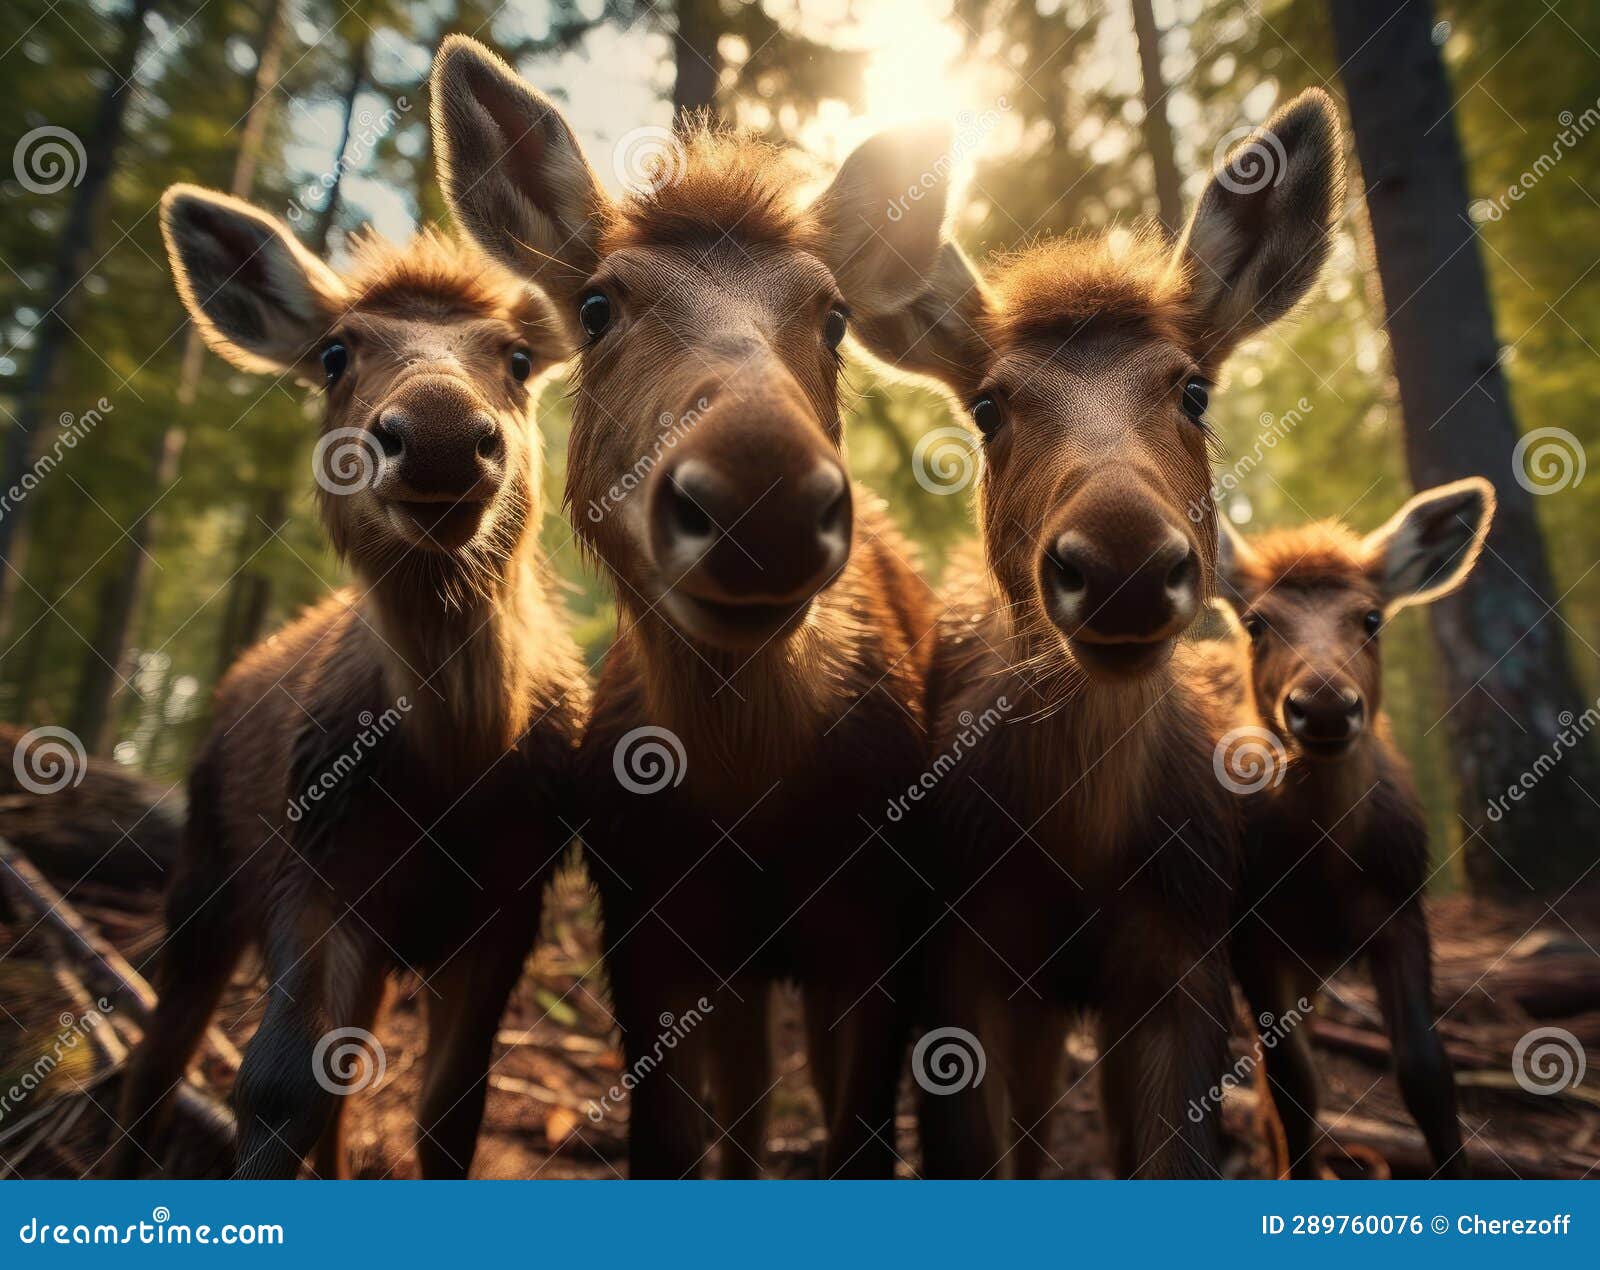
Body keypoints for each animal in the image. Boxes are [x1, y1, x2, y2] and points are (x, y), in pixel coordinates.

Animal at [109, 186, 587, 1179]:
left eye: (519, 358)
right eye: (335, 353)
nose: (440, 434)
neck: (456, 762)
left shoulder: (508, 904)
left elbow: (449, 1114)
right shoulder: (312, 868)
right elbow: (277, 1087)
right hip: (206, 880)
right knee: (160, 1058)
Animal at [430, 35, 962, 1178]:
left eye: (834, 317)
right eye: (596, 306)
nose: (762, 494)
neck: (745, 787)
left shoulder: (877, 929)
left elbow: (858, 1143)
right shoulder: (645, 932)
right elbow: (672, 1145)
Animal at [840, 91, 1345, 1176]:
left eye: (1193, 389)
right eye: (989, 406)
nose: (1120, 567)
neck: (1078, 843)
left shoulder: (1181, 956)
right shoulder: (965, 959)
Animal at [1206, 478, 1493, 1178]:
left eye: (1371, 619)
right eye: (1256, 623)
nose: (1326, 705)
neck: (1327, 880)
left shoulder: (1404, 913)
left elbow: (1426, 1073)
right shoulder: (1252, 935)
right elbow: (1293, 1084)